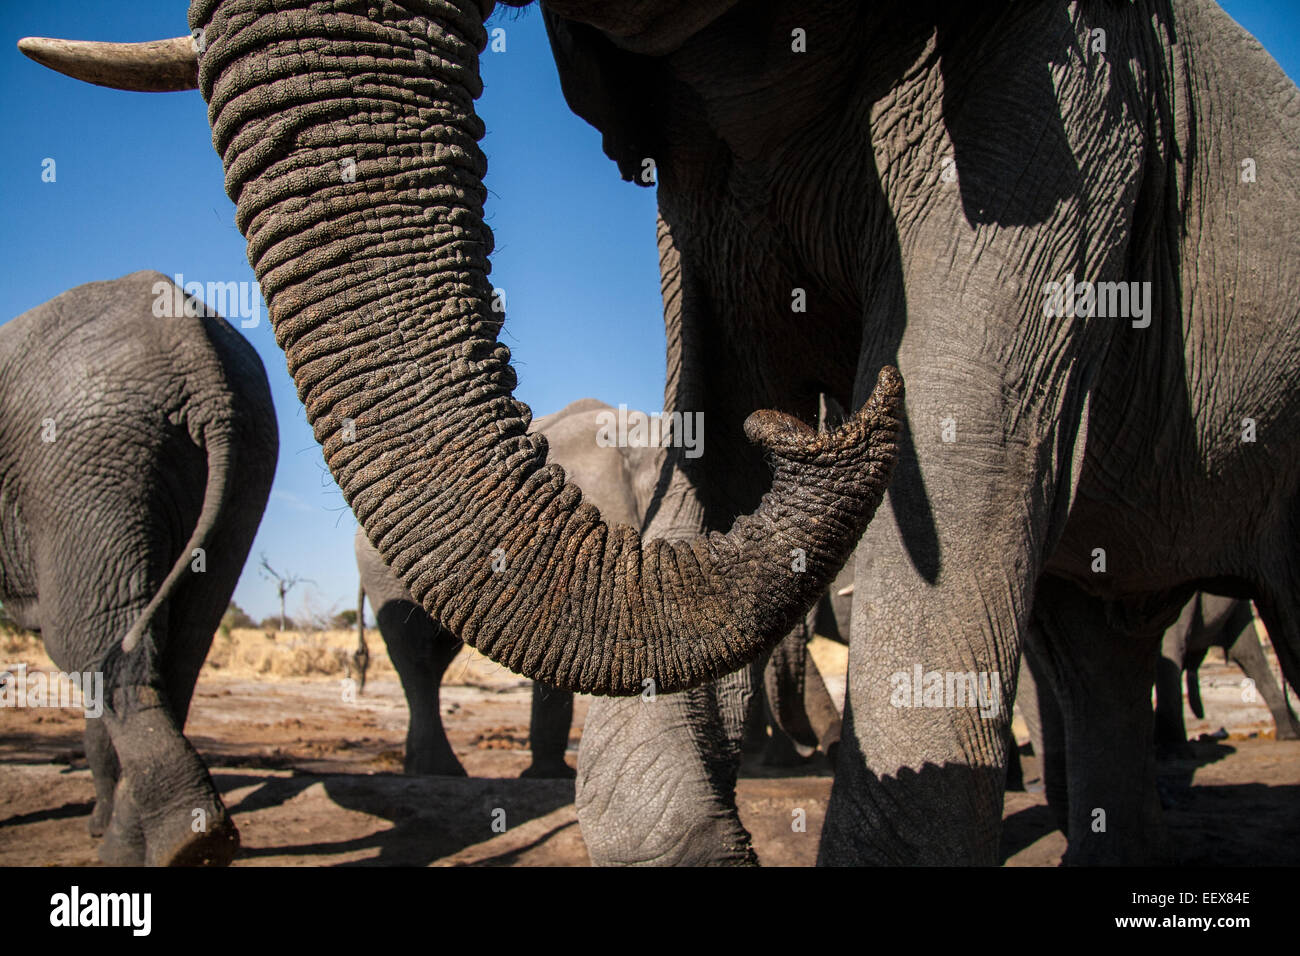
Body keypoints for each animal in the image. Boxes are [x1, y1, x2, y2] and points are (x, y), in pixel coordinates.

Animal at [0, 271, 277, 865]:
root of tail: (198, 361)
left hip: (85, 462)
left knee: (93, 642)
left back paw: (178, 846)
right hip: (245, 459)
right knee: (178, 648)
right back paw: (158, 846)